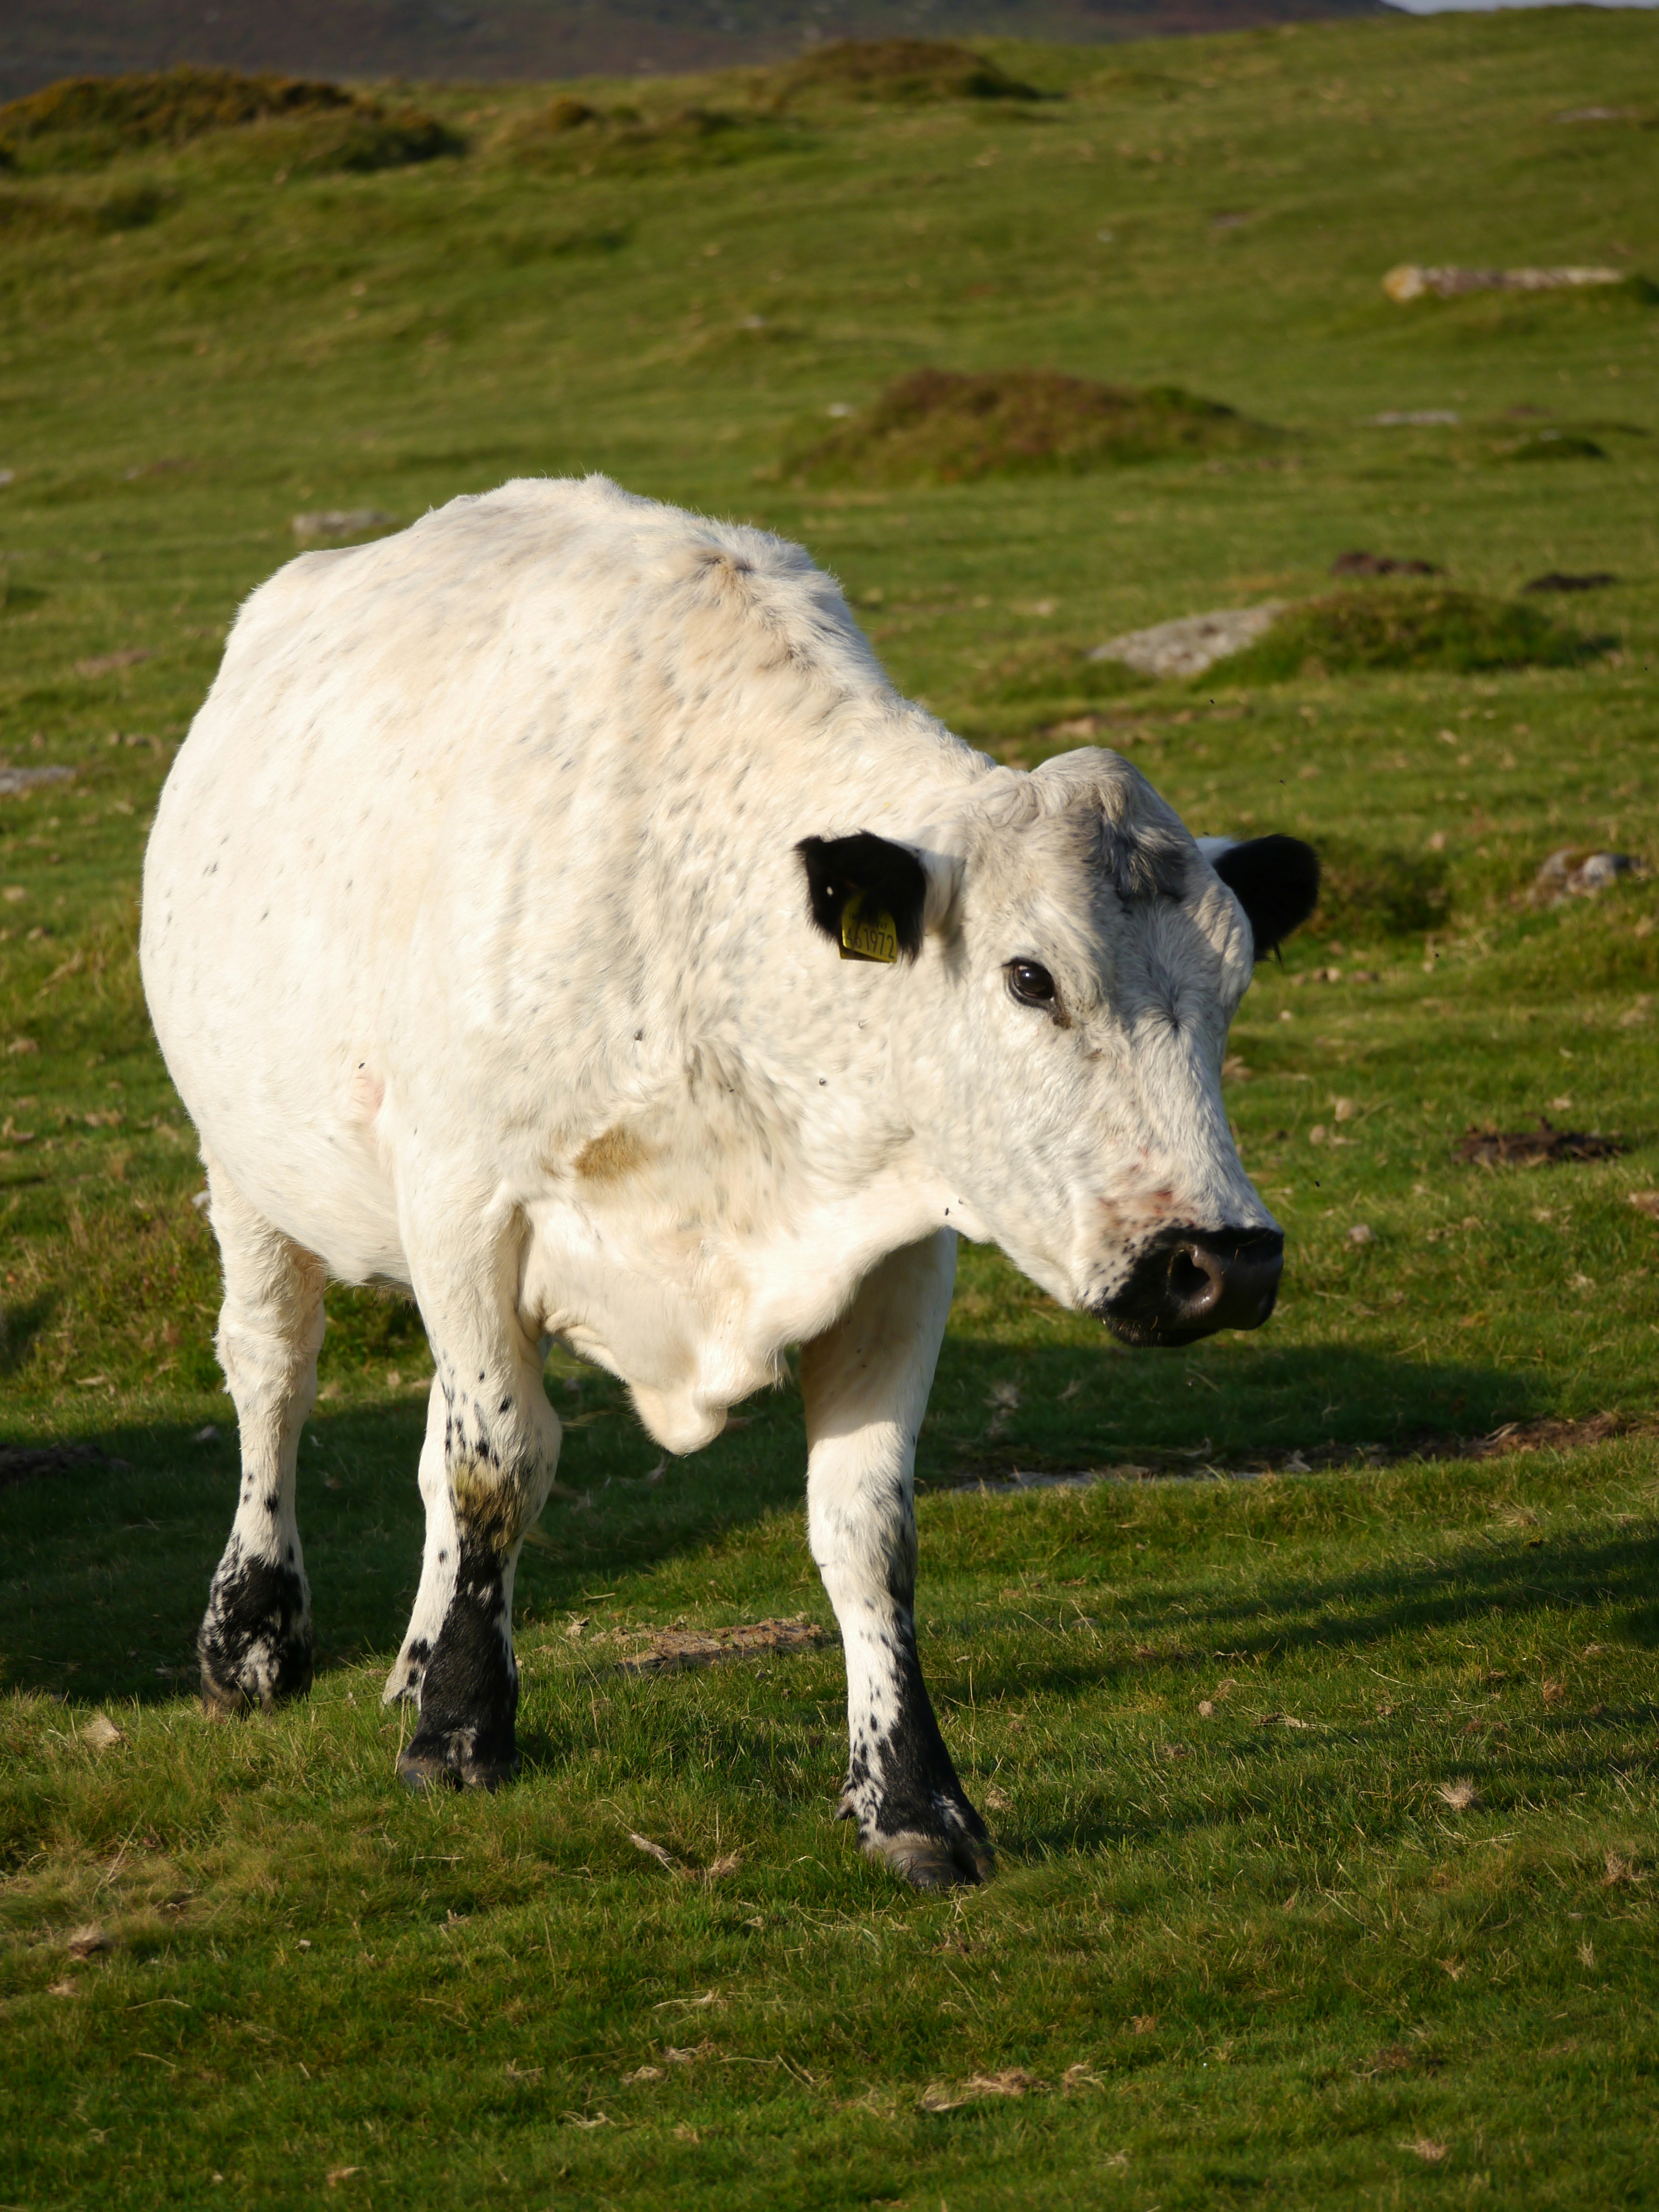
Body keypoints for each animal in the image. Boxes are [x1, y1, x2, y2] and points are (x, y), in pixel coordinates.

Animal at [140, 475, 1317, 1889]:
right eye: (1031, 977)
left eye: (1233, 986)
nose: (1222, 1261)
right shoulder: (466, 1203)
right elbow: (498, 1467)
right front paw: (462, 1736)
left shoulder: (902, 1248)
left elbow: (866, 1524)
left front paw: (913, 1799)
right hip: (245, 1161)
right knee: (275, 1373)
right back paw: (255, 1637)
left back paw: (417, 1660)